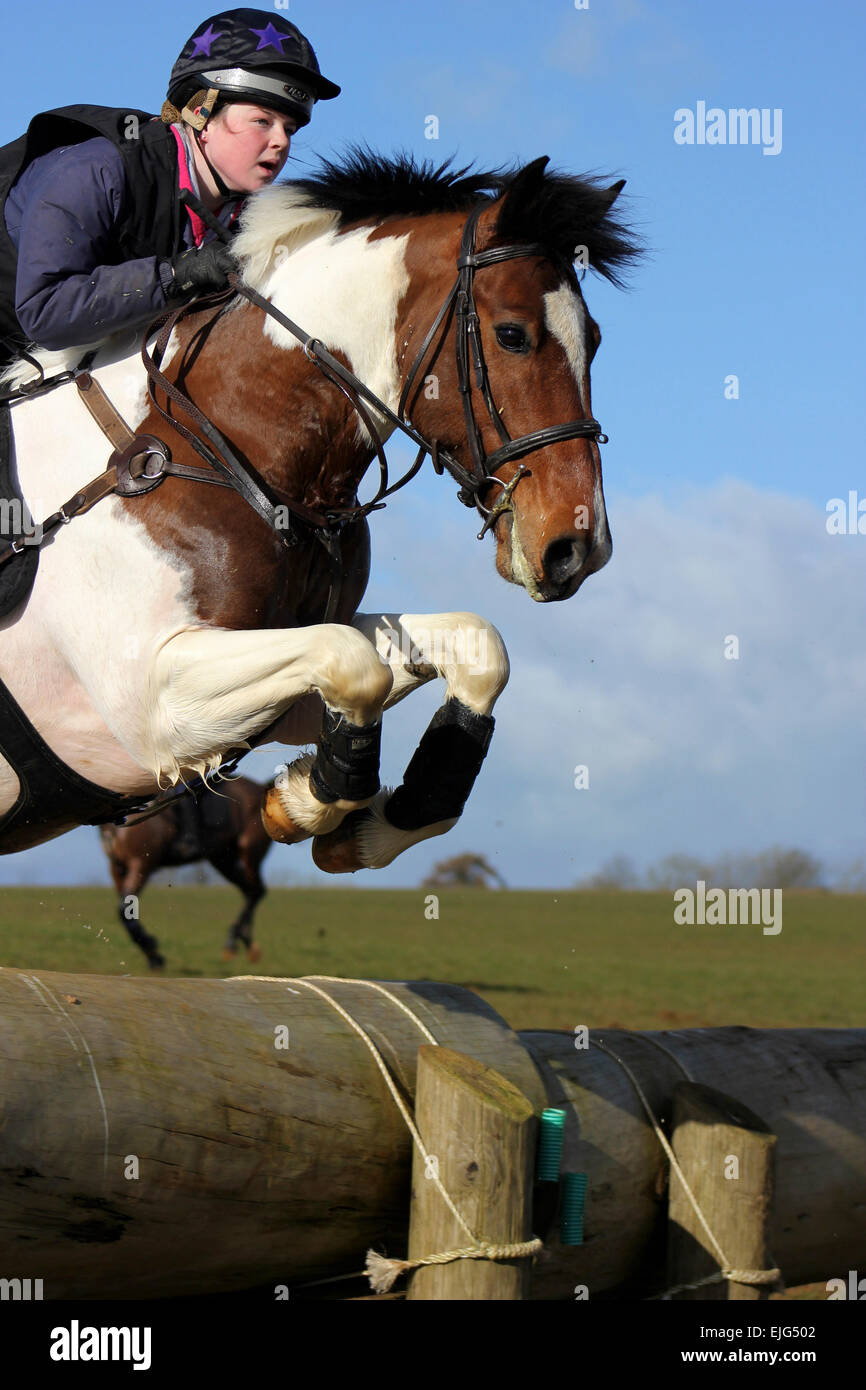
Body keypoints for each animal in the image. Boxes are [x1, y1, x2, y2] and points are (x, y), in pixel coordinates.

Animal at [0, 150, 639, 874]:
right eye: (512, 336)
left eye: (593, 339)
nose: (578, 547)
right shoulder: (153, 709)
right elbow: (352, 663)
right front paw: (308, 798)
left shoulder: (275, 687)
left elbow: (474, 649)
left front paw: (358, 819)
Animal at [99, 775, 271, 968]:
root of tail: (260, 787)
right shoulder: (117, 868)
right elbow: (126, 912)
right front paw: (152, 954)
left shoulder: (141, 864)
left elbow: (124, 910)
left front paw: (153, 952)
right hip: (222, 859)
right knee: (250, 891)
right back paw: (245, 943)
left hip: (249, 852)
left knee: (256, 891)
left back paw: (233, 941)